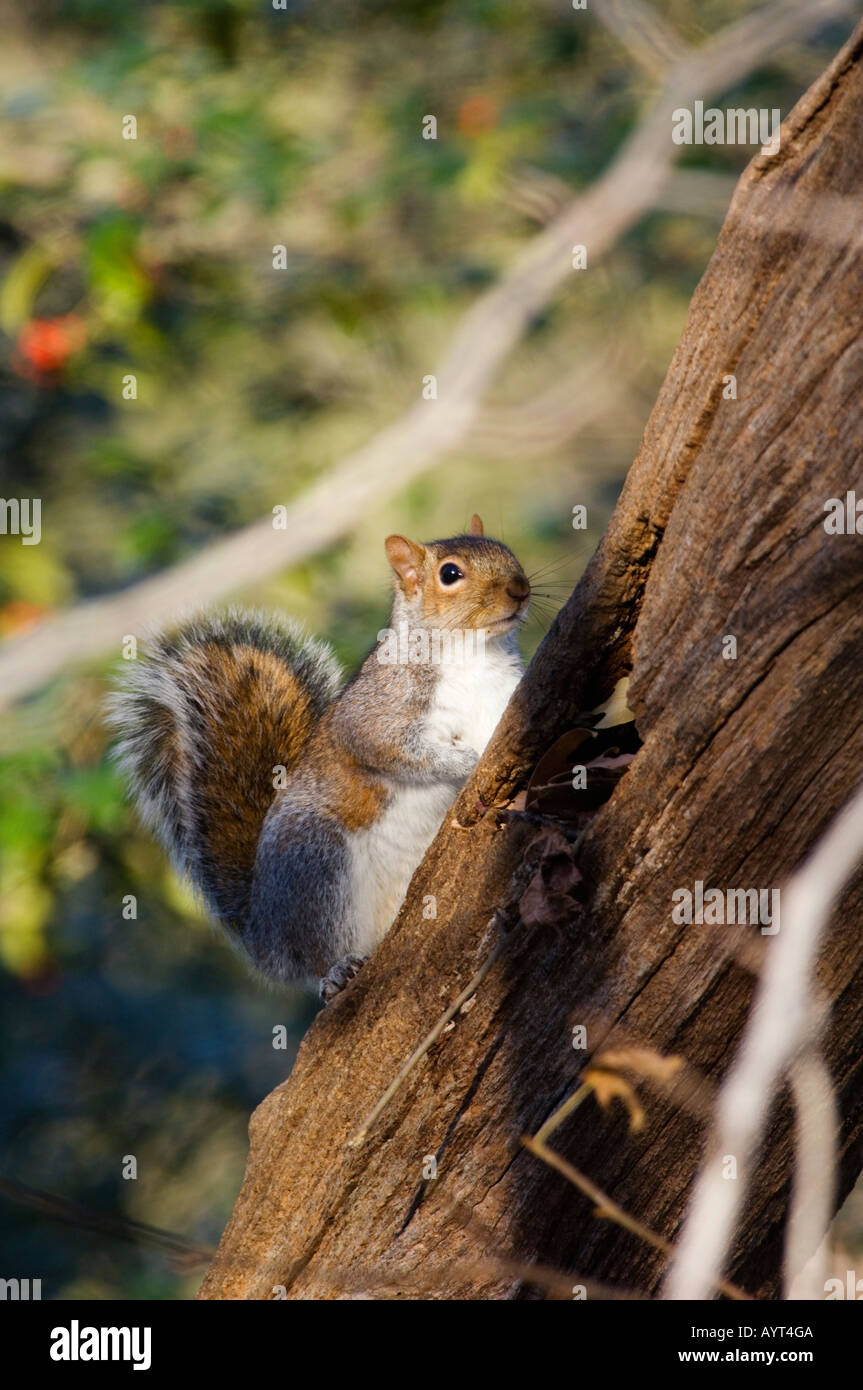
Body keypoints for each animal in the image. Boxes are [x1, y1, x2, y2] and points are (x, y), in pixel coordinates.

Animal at [108, 514, 530, 1001]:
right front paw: (465, 763)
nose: (520, 588)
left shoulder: (506, 700)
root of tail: (262, 935)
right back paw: (337, 970)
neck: (475, 654)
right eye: (450, 573)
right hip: (316, 863)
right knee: (313, 957)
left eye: (506, 550)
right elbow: (389, 746)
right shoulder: (376, 710)